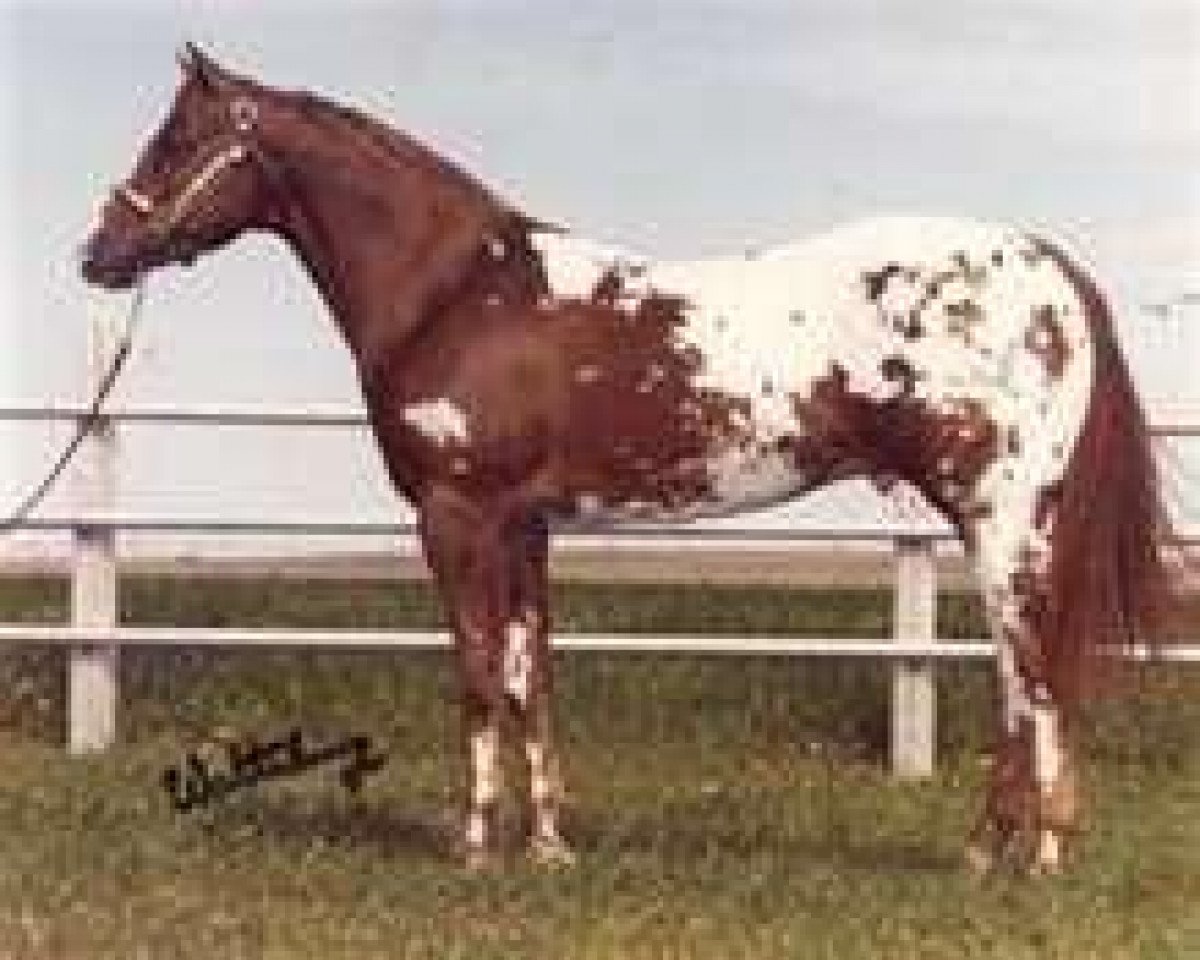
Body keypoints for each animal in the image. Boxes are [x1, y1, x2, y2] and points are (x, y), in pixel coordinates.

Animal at [81, 45, 1174, 873]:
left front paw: (474, 847)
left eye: (176, 139)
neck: (459, 294)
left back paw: (1029, 856)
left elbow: (477, 671)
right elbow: (532, 673)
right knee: (1017, 673)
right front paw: (548, 845)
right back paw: (994, 850)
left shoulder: (455, 514)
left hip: (1004, 519)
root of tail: (1049, 268)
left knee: (1032, 672)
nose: (98, 251)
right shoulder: (524, 524)